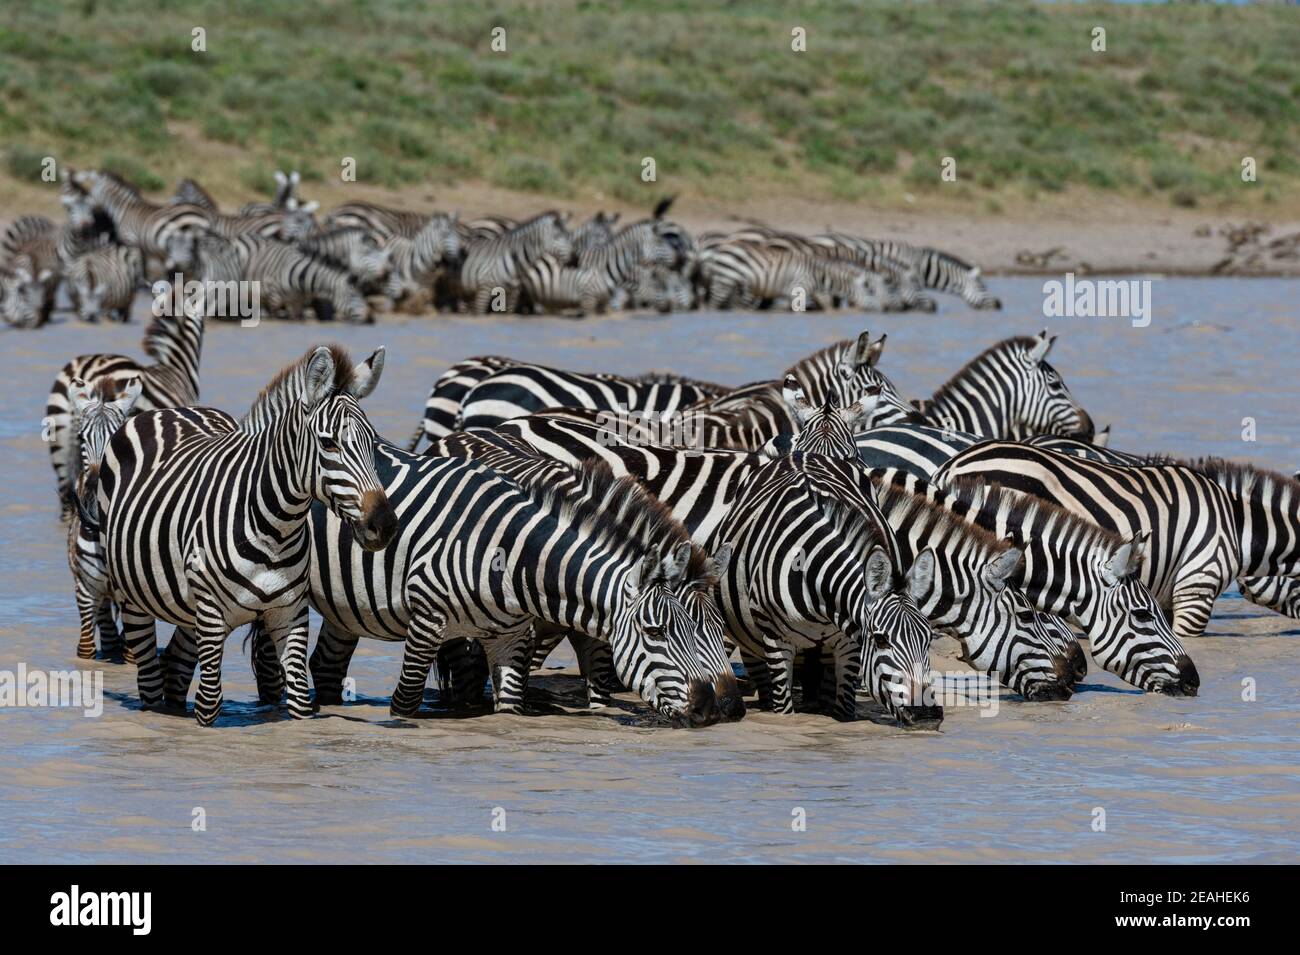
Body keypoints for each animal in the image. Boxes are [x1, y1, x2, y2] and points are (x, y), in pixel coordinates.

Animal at [97, 345, 397, 725]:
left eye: (373, 443)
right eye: (329, 444)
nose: (384, 524)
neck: (275, 528)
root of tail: (172, 410)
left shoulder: (290, 611)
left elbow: (300, 700)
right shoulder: (211, 611)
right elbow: (210, 702)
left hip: (187, 605)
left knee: (175, 666)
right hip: (134, 593)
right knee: (149, 679)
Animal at [299, 450, 724, 726]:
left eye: (702, 630)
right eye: (656, 632)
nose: (708, 707)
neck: (512, 558)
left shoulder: (511, 637)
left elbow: (510, 709)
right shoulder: (427, 623)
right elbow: (404, 706)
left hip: (343, 607)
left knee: (326, 667)